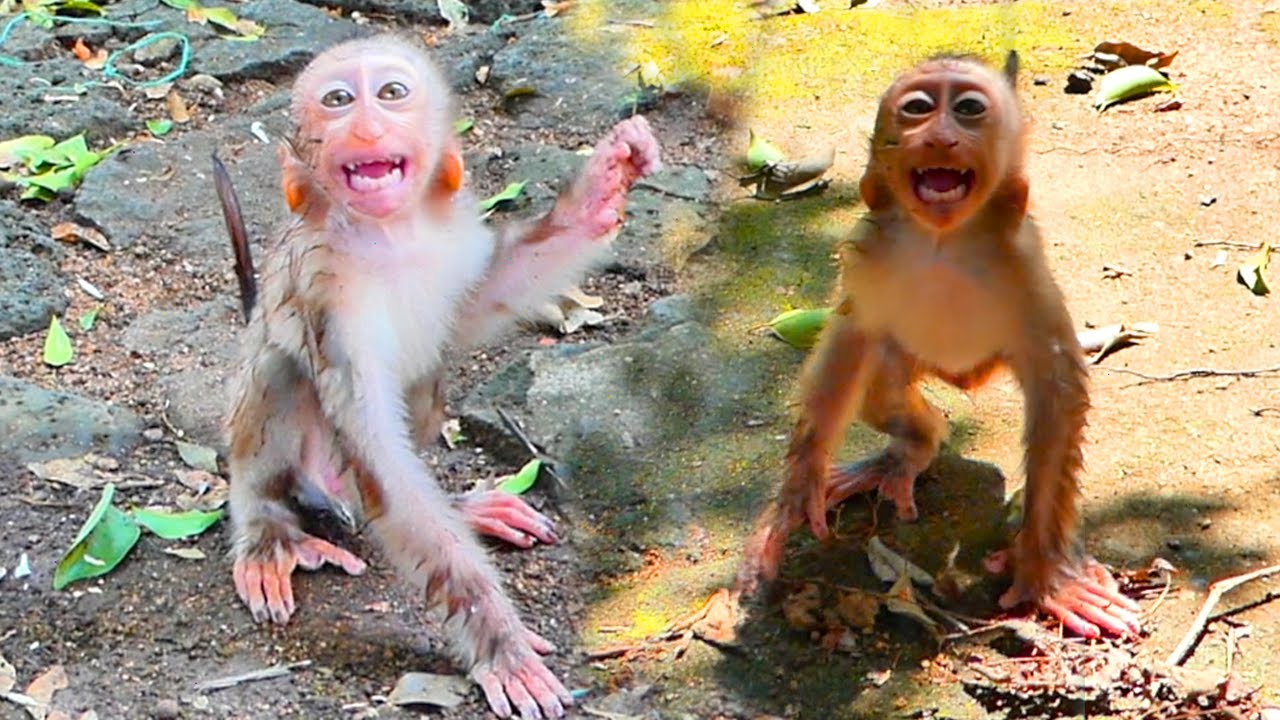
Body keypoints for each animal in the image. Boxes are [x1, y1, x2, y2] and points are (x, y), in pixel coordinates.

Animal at [213, 34, 661, 719]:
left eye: (391, 93)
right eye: (337, 100)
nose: (367, 126)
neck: (385, 235)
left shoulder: (453, 238)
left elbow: (476, 307)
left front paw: (600, 188)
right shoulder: (324, 289)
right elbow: (384, 464)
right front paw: (501, 645)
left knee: (424, 377)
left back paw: (463, 509)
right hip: (299, 463)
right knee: (283, 371)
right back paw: (269, 527)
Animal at [735, 52, 1141, 639]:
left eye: (968, 109)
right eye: (919, 109)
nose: (942, 138)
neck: (943, 241)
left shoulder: (1022, 266)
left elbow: (1056, 385)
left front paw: (1045, 572)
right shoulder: (870, 253)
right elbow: (850, 341)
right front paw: (798, 487)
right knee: (880, 378)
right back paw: (906, 452)